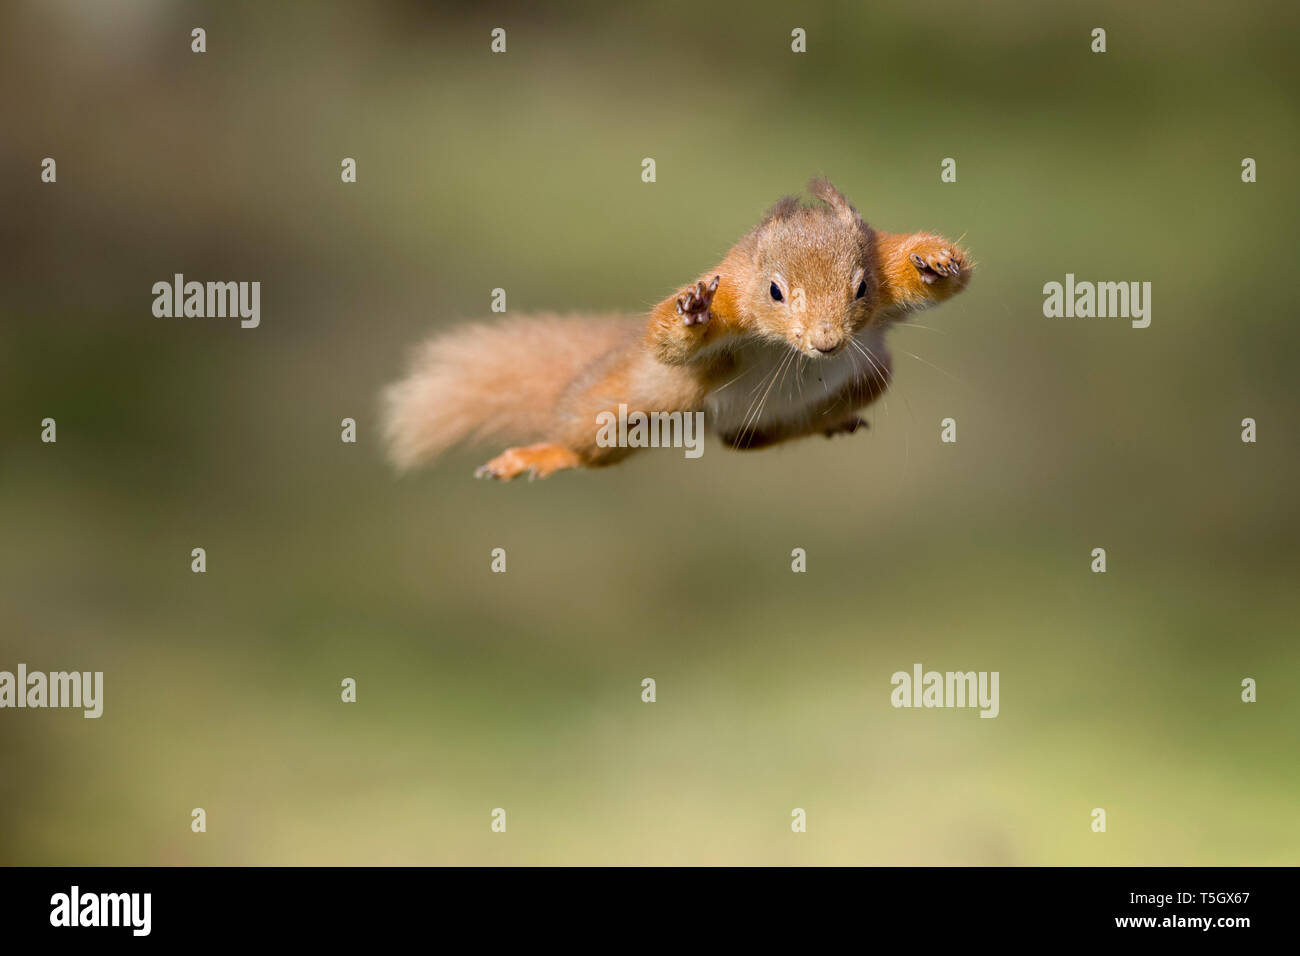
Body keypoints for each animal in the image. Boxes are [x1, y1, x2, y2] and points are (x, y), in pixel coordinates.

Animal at [383, 178, 971, 480]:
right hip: (628, 399)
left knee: (746, 442)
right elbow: (666, 339)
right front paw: (692, 311)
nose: (827, 344)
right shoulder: (732, 289)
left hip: (870, 376)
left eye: (862, 288)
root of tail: (709, 420)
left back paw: (829, 424)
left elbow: (949, 281)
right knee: (589, 443)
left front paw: (934, 261)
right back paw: (538, 455)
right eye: (775, 292)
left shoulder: (882, 266)